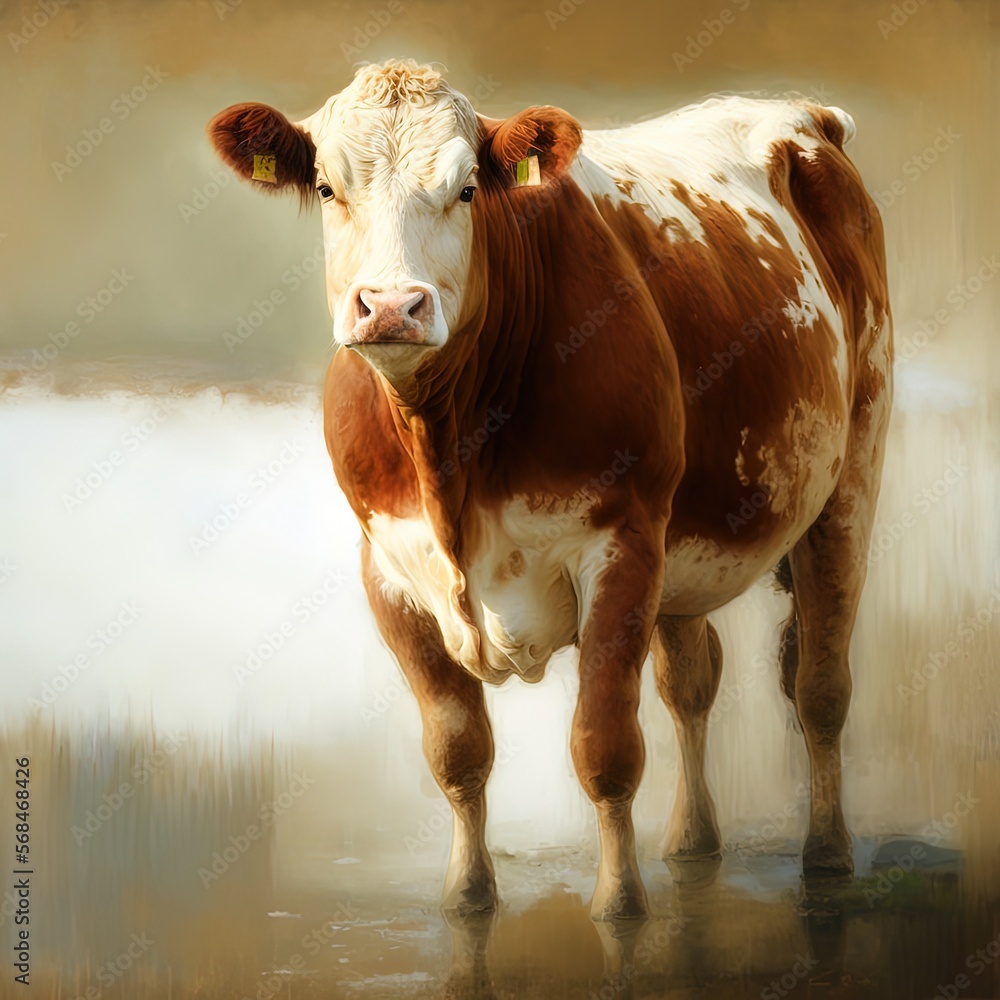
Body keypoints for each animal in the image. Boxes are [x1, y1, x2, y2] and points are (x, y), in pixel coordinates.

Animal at [208, 59, 892, 922]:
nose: (391, 306)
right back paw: (692, 840)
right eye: (328, 187)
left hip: (851, 478)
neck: (448, 451)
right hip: (689, 545)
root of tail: (804, 113)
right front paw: (468, 894)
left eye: (468, 188)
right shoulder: (388, 570)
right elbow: (457, 750)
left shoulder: (622, 546)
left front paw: (619, 902)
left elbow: (605, 747)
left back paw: (827, 854)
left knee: (819, 684)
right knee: (691, 681)